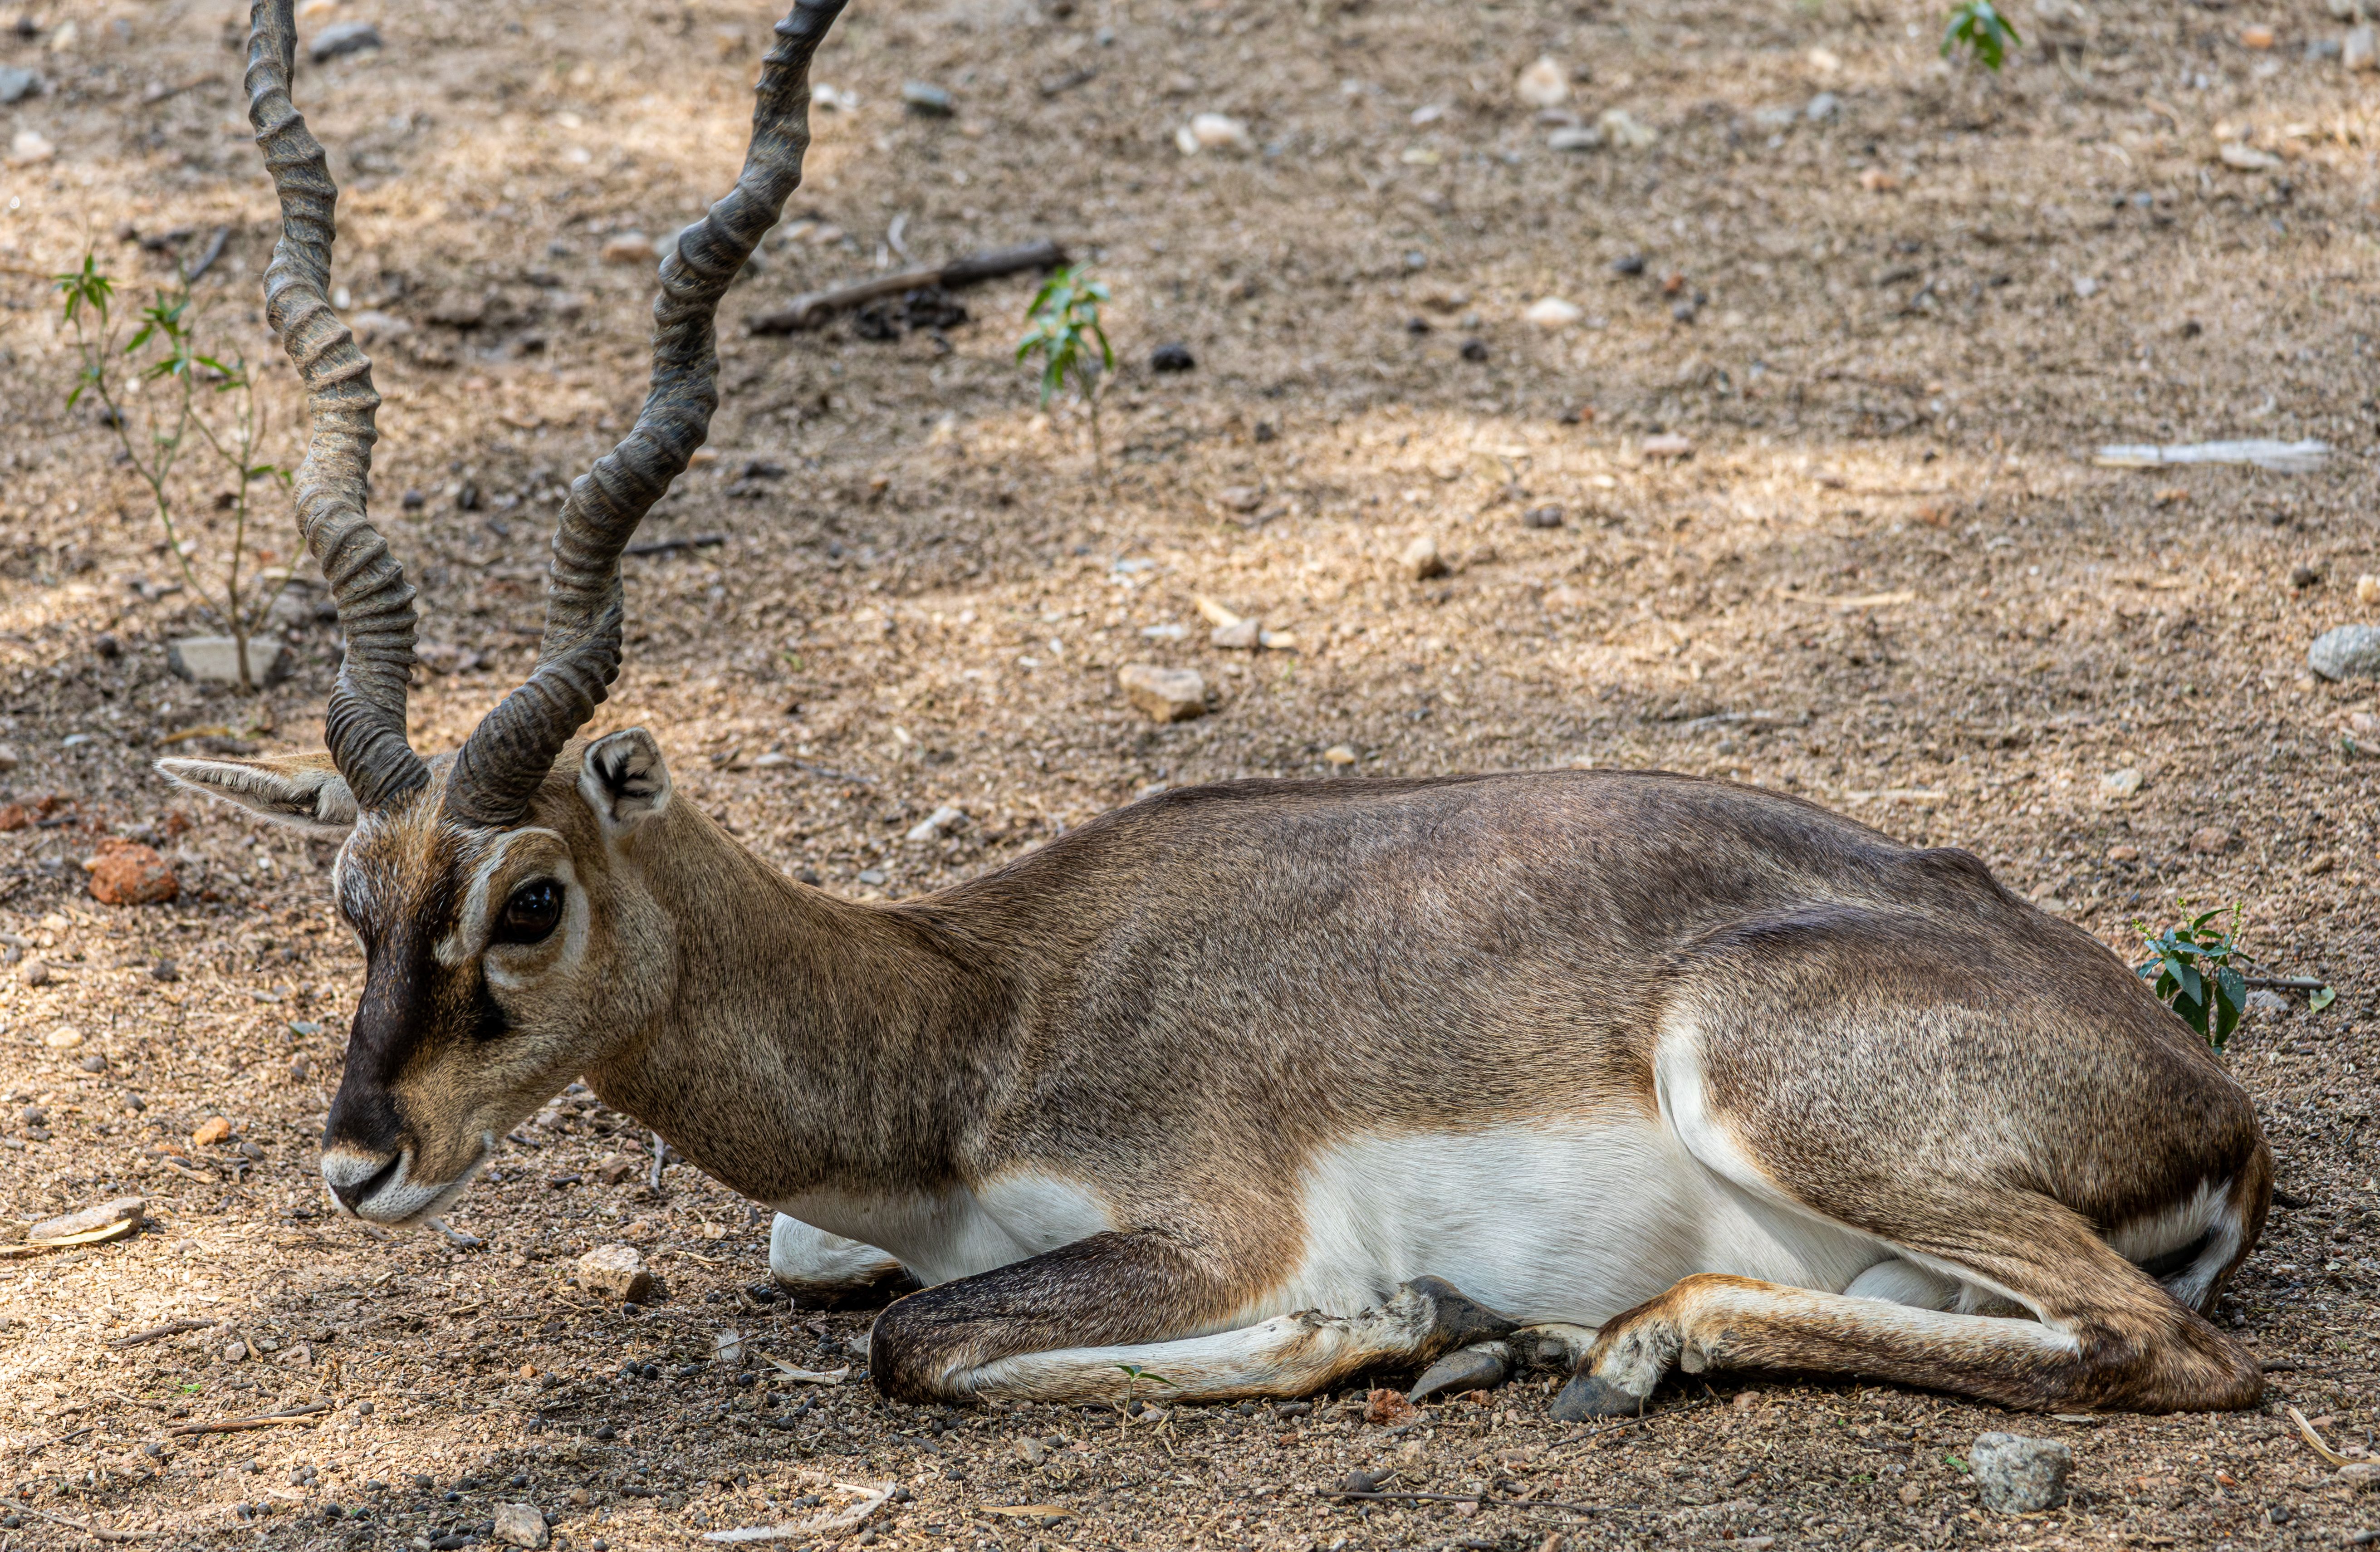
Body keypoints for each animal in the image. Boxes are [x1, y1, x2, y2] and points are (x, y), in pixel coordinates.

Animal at [163, 0, 2272, 1420]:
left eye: (528, 899)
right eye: (352, 901)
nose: (357, 1160)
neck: (962, 1026)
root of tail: (2208, 1092)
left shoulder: (1199, 1230)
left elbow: (918, 1346)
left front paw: (1392, 1319)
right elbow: (874, 1306)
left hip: (1761, 1082)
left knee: (2157, 1346)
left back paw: (1586, 1340)